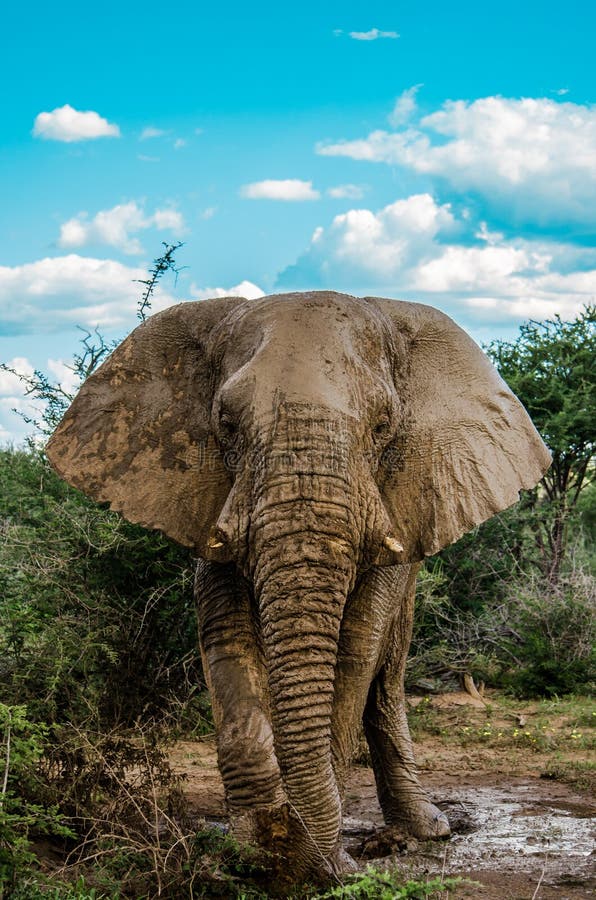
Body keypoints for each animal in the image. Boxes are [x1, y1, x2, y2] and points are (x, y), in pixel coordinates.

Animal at [46, 290, 551, 884]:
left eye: (384, 426)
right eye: (226, 424)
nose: (287, 834)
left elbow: (356, 647)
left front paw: (319, 861)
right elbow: (224, 632)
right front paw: (256, 849)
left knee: (388, 664)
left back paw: (423, 832)